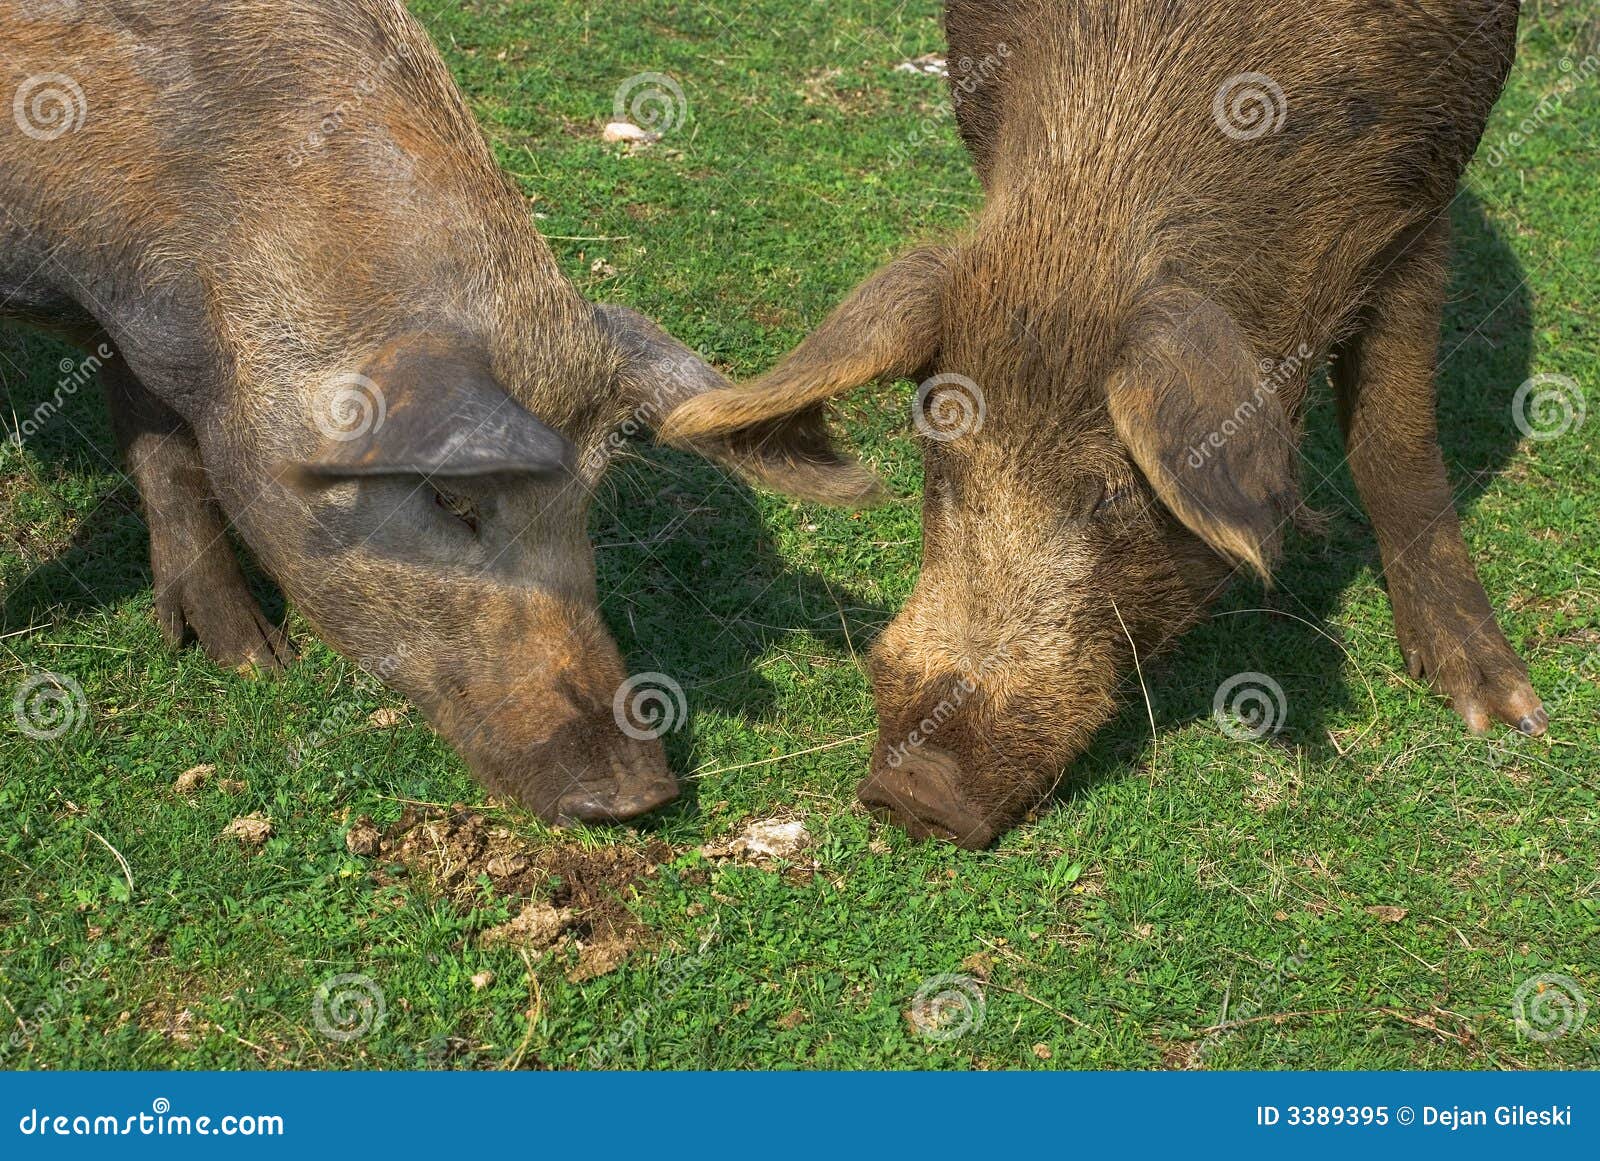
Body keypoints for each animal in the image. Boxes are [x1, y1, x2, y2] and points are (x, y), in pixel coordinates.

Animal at [1, 0, 872, 825]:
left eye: (586, 502)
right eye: (452, 499)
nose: (642, 794)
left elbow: (167, 457)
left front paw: (252, 661)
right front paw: (258, 662)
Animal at [661, 0, 1545, 847]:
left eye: (1113, 496)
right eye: (936, 457)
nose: (911, 792)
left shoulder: (1420, 200)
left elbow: (1395, 437)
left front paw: (1504, 713)